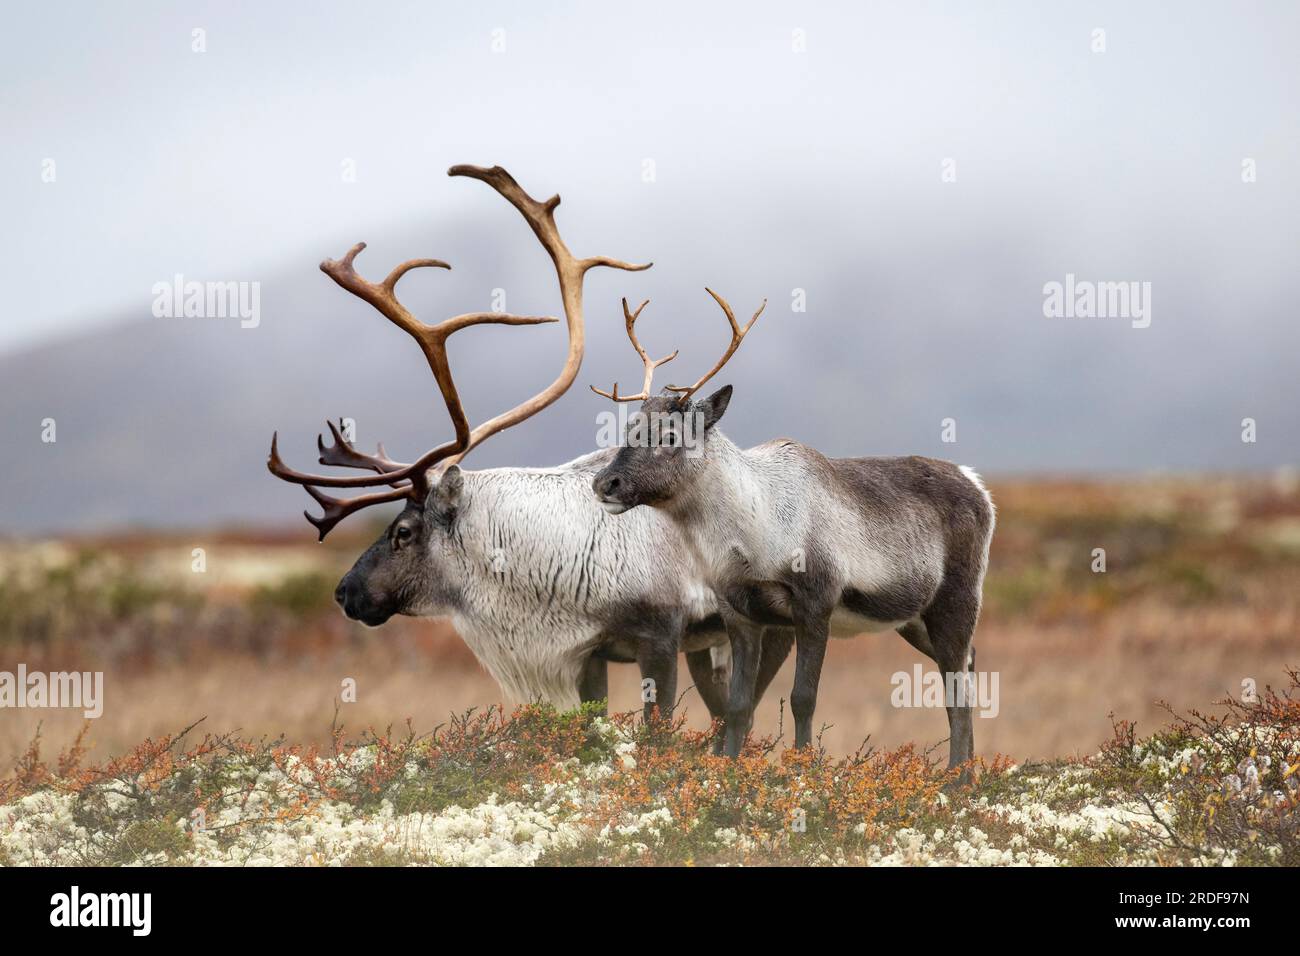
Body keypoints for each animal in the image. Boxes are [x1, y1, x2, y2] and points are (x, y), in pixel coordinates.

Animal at [589, 289, 996, 776]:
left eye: (670, 435)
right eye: (630, 427)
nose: (605, 483)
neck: (751, 530)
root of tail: (979, 486)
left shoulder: (816, 604)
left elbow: (803, 698)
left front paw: (804, 772)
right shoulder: (740, 614)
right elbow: (738, 706)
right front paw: (729, 771)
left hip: (957, 600)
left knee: (958, 690)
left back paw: (957, 778)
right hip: (914, 620)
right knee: (968, 667)